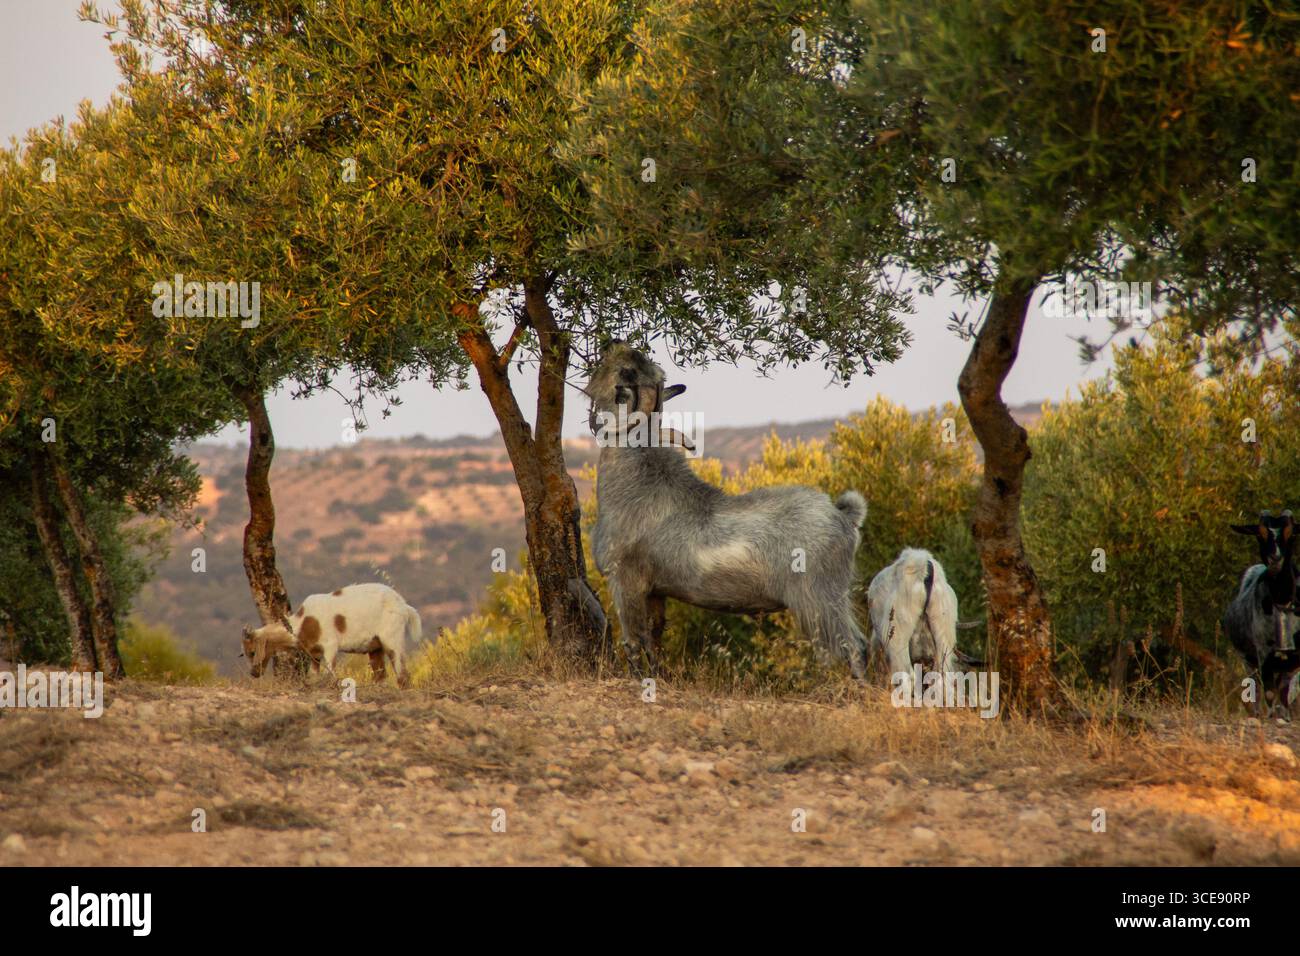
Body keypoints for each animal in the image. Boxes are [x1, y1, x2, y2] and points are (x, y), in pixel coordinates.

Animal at [241, 583, 422, 688]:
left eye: (252, 651)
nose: (254, 673)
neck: (304, 621)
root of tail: (404, 606)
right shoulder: (313, 653)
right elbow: (314, 674)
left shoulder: (330, 646)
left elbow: (330, 673)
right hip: (375, 646)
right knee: (380, 675)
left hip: (392, 638)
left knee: (401, 670)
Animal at [587, 343, 869, 678]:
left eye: (625, 371)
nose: (614, 346)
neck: (639, 481)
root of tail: (844, 516)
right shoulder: (656, 592)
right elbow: (652, 641)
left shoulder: (625, 581)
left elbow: (633, 641)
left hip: (819, 600)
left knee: (852, 647)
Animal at [1223, 511, 1299, 715]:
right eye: (1260, 534)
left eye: (1291, 533)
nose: (1275, 559)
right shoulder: (1263, 652)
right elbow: (1271, 693)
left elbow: (1286, 692)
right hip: (1248, 660)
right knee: (1255, 686)